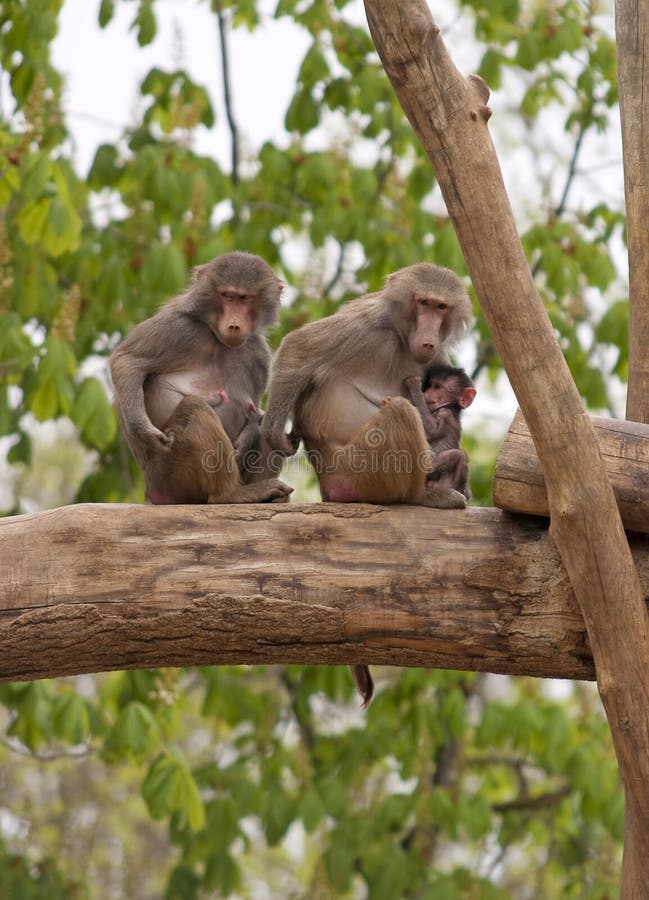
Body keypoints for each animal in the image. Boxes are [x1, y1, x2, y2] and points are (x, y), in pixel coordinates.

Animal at [109, 251, 292, 504]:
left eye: (245, 298)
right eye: (227, 296)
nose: (234, 325)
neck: (217, 338)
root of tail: (152, 491)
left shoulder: (260, 356)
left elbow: (254, 412)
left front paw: (249, 436)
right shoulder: (180, 328)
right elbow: (127, 361)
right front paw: (144, 429)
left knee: (269, 423)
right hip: (171, 475)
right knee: (195, 409)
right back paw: (231, 495)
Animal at [404, 363, 476, 499]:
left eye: (437, 387)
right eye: (430, 385)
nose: (426, 392)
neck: (450, 406)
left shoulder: (445, 413)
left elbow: (432, 430)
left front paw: (414, 387)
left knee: (459, 455)